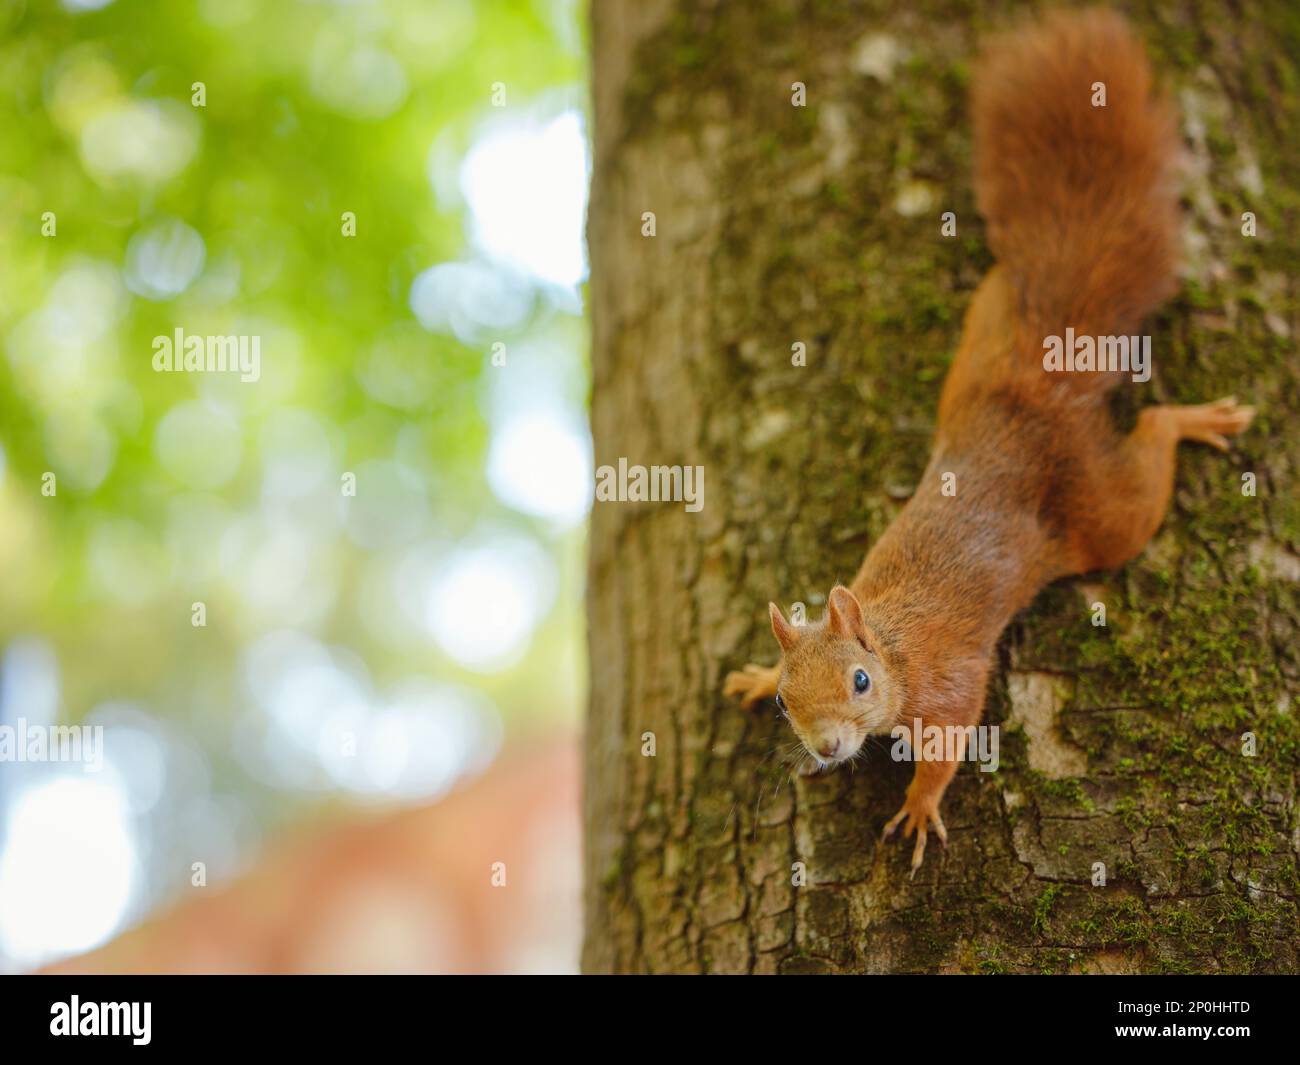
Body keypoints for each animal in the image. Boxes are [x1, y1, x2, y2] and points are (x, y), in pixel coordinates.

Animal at [723, 9, 1254, 875]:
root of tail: (1034, 394)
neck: (891, 642)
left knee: (1147, 455)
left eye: (861, 682)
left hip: (1104, 511)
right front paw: (750, 671)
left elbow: (949, 743)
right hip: (982, 336)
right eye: (784, 699)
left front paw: (918, 805)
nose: (828, 748)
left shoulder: (947, 683)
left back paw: (1193, 419)